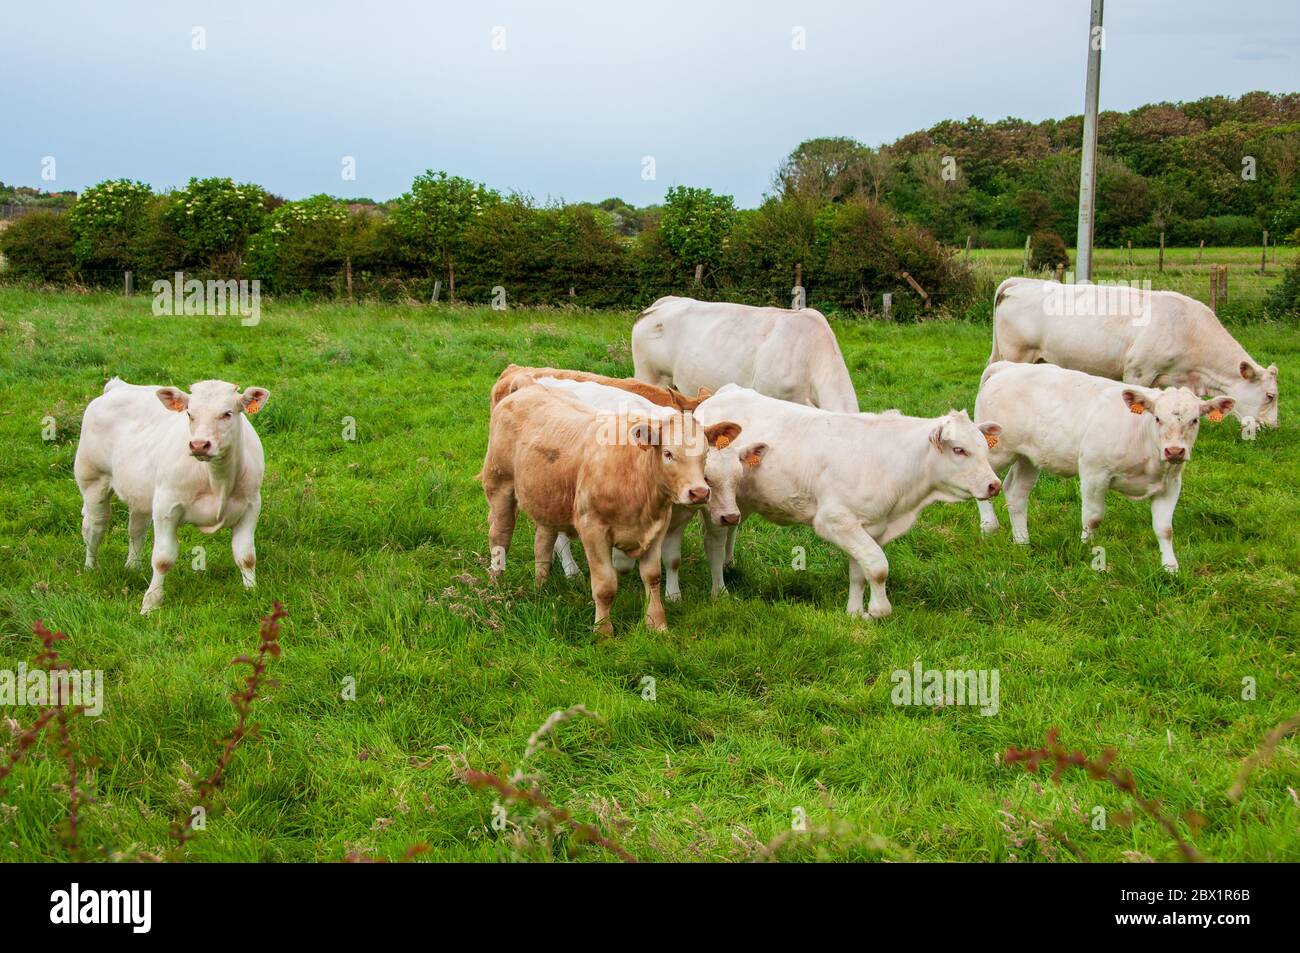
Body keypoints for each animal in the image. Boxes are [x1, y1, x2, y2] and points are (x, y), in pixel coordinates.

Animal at [74, 377, 270, 613]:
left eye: (227, 413)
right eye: (189, 413)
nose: (199, 445)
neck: (217, 480)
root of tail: (118, 386)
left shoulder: (251, 507)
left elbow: (246, 555)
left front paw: (252, 592)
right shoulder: (166, 507)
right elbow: (163, 558)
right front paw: (150, 603)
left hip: (140, 494)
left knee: (136, 530)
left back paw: (132, 567)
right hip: (93, 482)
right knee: (94, 527)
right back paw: (90, 568)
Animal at [478, 385, 740, 633]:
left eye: (706, 453)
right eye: (668, 453)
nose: (700, 492)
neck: (633, 475)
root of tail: (526, 388)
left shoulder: (657, 529)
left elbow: (652, 577)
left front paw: (656, 624)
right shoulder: (593, 531)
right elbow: (605, 586)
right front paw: (603, 631)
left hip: (547, 498)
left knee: (542, 542)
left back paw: (541, 586)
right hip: (499, 485)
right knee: (500, 536)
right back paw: (496, 585)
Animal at [693, 385, 1003, 619]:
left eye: (984, 447)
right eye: (959, 450)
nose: (994, 485)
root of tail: (721, 393)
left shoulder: (869, 525)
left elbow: (860, 571)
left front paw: (855, 612)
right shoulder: (835, 520)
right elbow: (877, 566)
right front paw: (878, 610)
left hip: (738, 501)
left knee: (732, 528)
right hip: (716, 502)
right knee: (714, 542)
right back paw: (720, 591)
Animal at [974, 361, 1235, 572]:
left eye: (1195, 420)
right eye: (1158, 418)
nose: (1174, 451)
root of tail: (1008, 367)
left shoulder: (1170, 484)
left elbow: (1164, 528)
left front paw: (1170, 567)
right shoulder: (1094, 472)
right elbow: (1093, 518)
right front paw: (1087, 550)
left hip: (1028, 457)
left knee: (1016, 493)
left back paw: (1022, 542)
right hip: (996, 451)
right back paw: (989, 526)